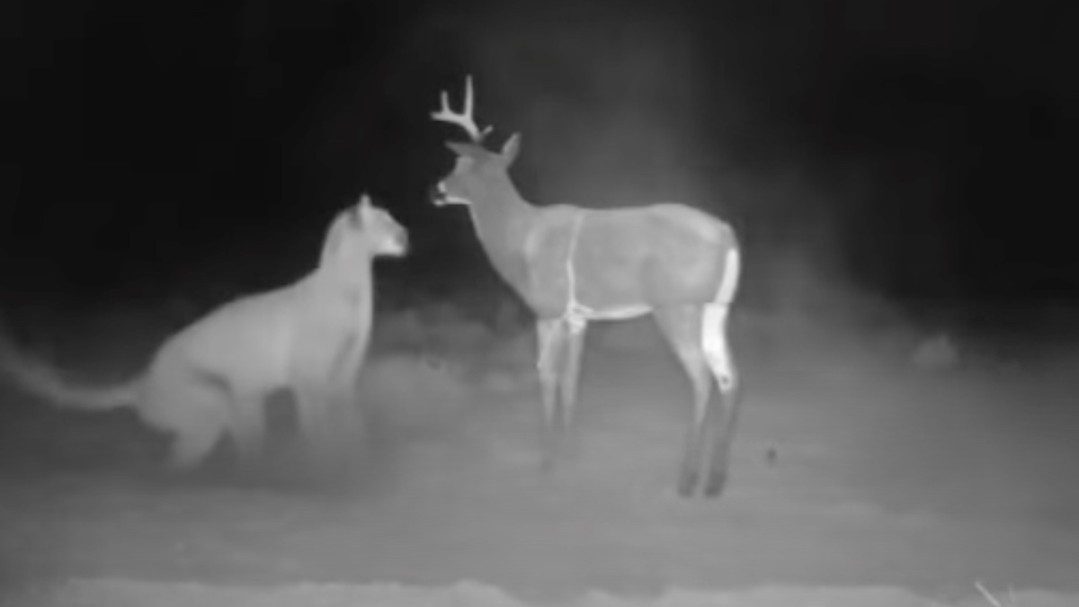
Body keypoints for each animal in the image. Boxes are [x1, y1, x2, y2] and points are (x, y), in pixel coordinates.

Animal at [0, 194, 408, 472]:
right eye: (385, 222)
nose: (406, 233)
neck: (353, 287)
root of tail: (143, 380)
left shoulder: (343, 378)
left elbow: (353, 426)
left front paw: (356, 461)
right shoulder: (309, 382)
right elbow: (317, 428)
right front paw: (324, 467)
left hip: (245, 403)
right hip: (217, 401)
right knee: (180, 461)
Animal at [429, 76, 743, 498]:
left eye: (462, 165)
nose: (435, 191)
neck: (522, 240)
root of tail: (727, 234)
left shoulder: (548, 309)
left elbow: (547, 375)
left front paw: (547, 462)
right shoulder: (578, 316)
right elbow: (572, 381)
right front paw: (571, 456)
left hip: (678, 305)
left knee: (703, 378)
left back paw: (687, 479)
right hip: (715, 308)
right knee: (729, 376)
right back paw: (715, 480)